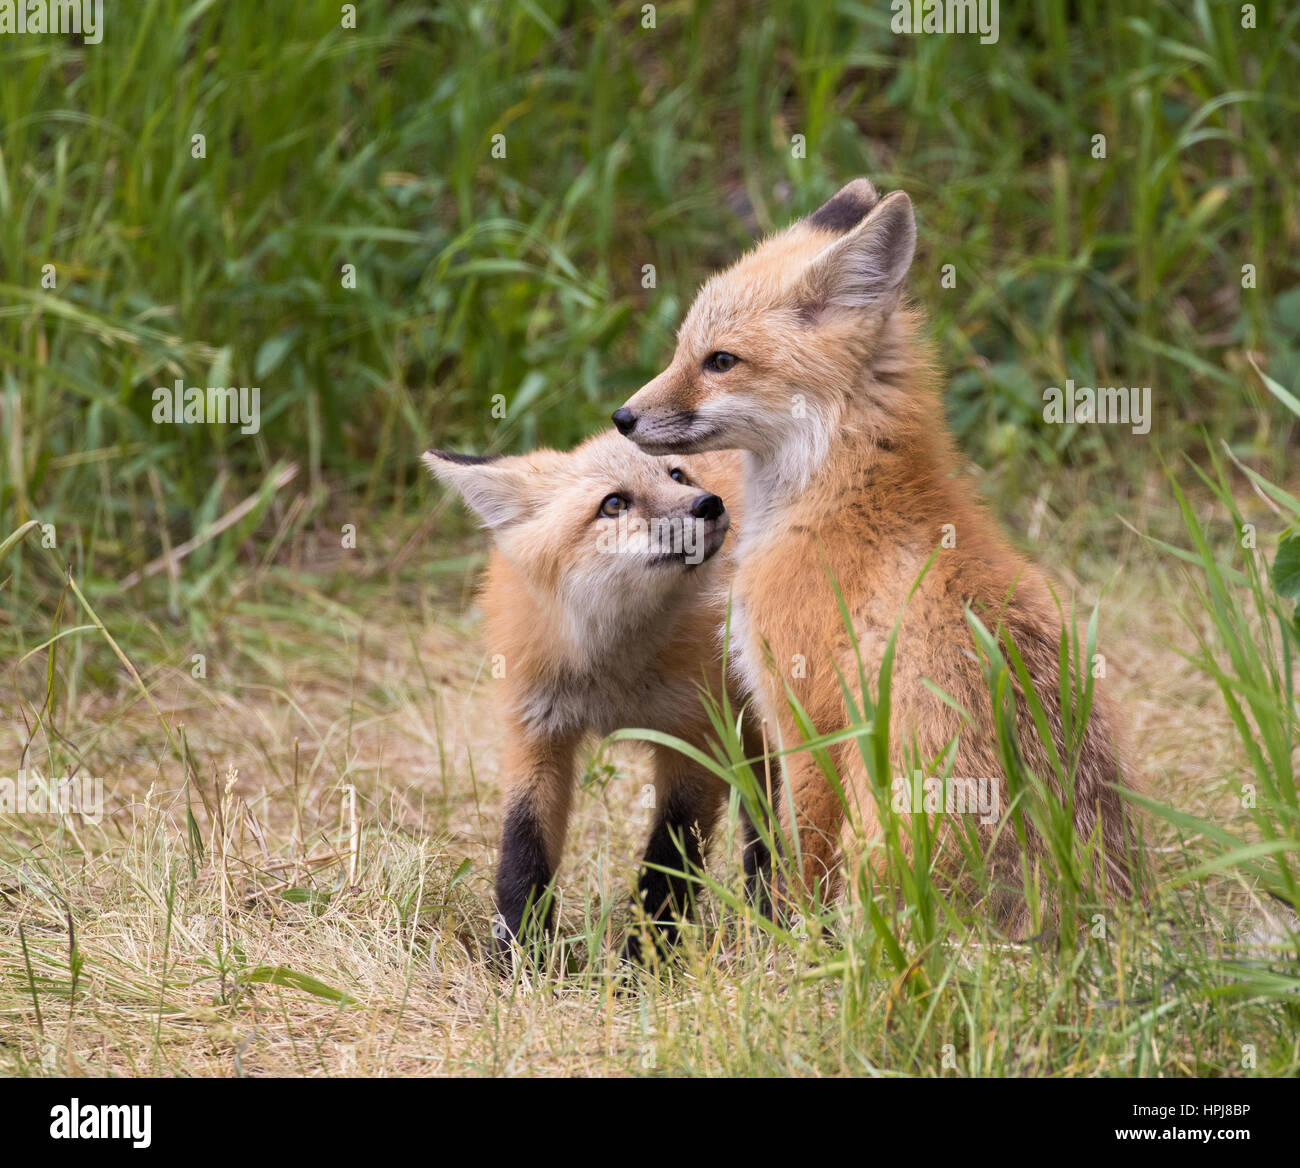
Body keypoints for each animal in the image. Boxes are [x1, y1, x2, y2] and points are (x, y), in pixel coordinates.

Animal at [424, 431, 766, 966]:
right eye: (613, 504)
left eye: (677, 474)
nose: (708, 503)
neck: (612, 673)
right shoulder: (537, 732)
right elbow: (522, 851)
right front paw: (515, 959)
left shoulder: (695, 739)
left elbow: (667, 865)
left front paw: (642, 965)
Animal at [613, 178, 1140, 936]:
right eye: (683, 350)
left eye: (720, 361)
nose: (622, 418)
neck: (839, 502)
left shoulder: (806, 717)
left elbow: (798, 867)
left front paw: (786, 952)